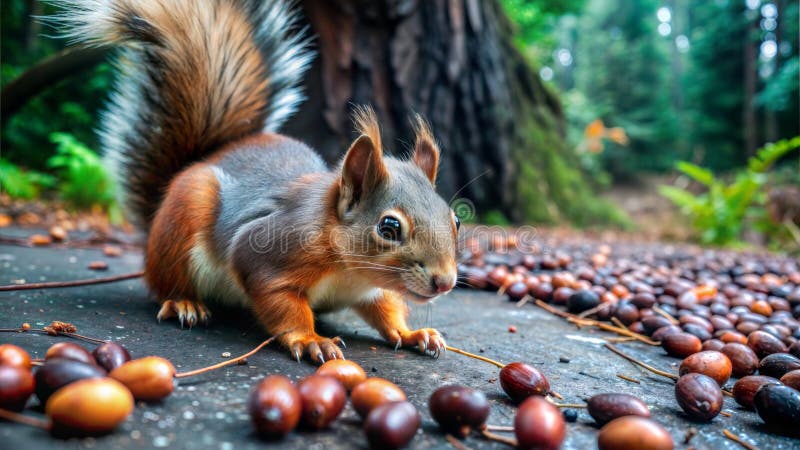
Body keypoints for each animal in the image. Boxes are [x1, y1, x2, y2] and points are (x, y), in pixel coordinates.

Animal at [50, 0, 459, 363]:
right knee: (165, 283)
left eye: (455, 219)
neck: (349, 270)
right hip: (184, 216)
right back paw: (184, 302)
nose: (446, 282)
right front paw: (311, 340)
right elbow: (283, 303)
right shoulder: (268, 254)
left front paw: (413, 333)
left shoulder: (372, 290)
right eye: (389, 227)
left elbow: (387, 309)